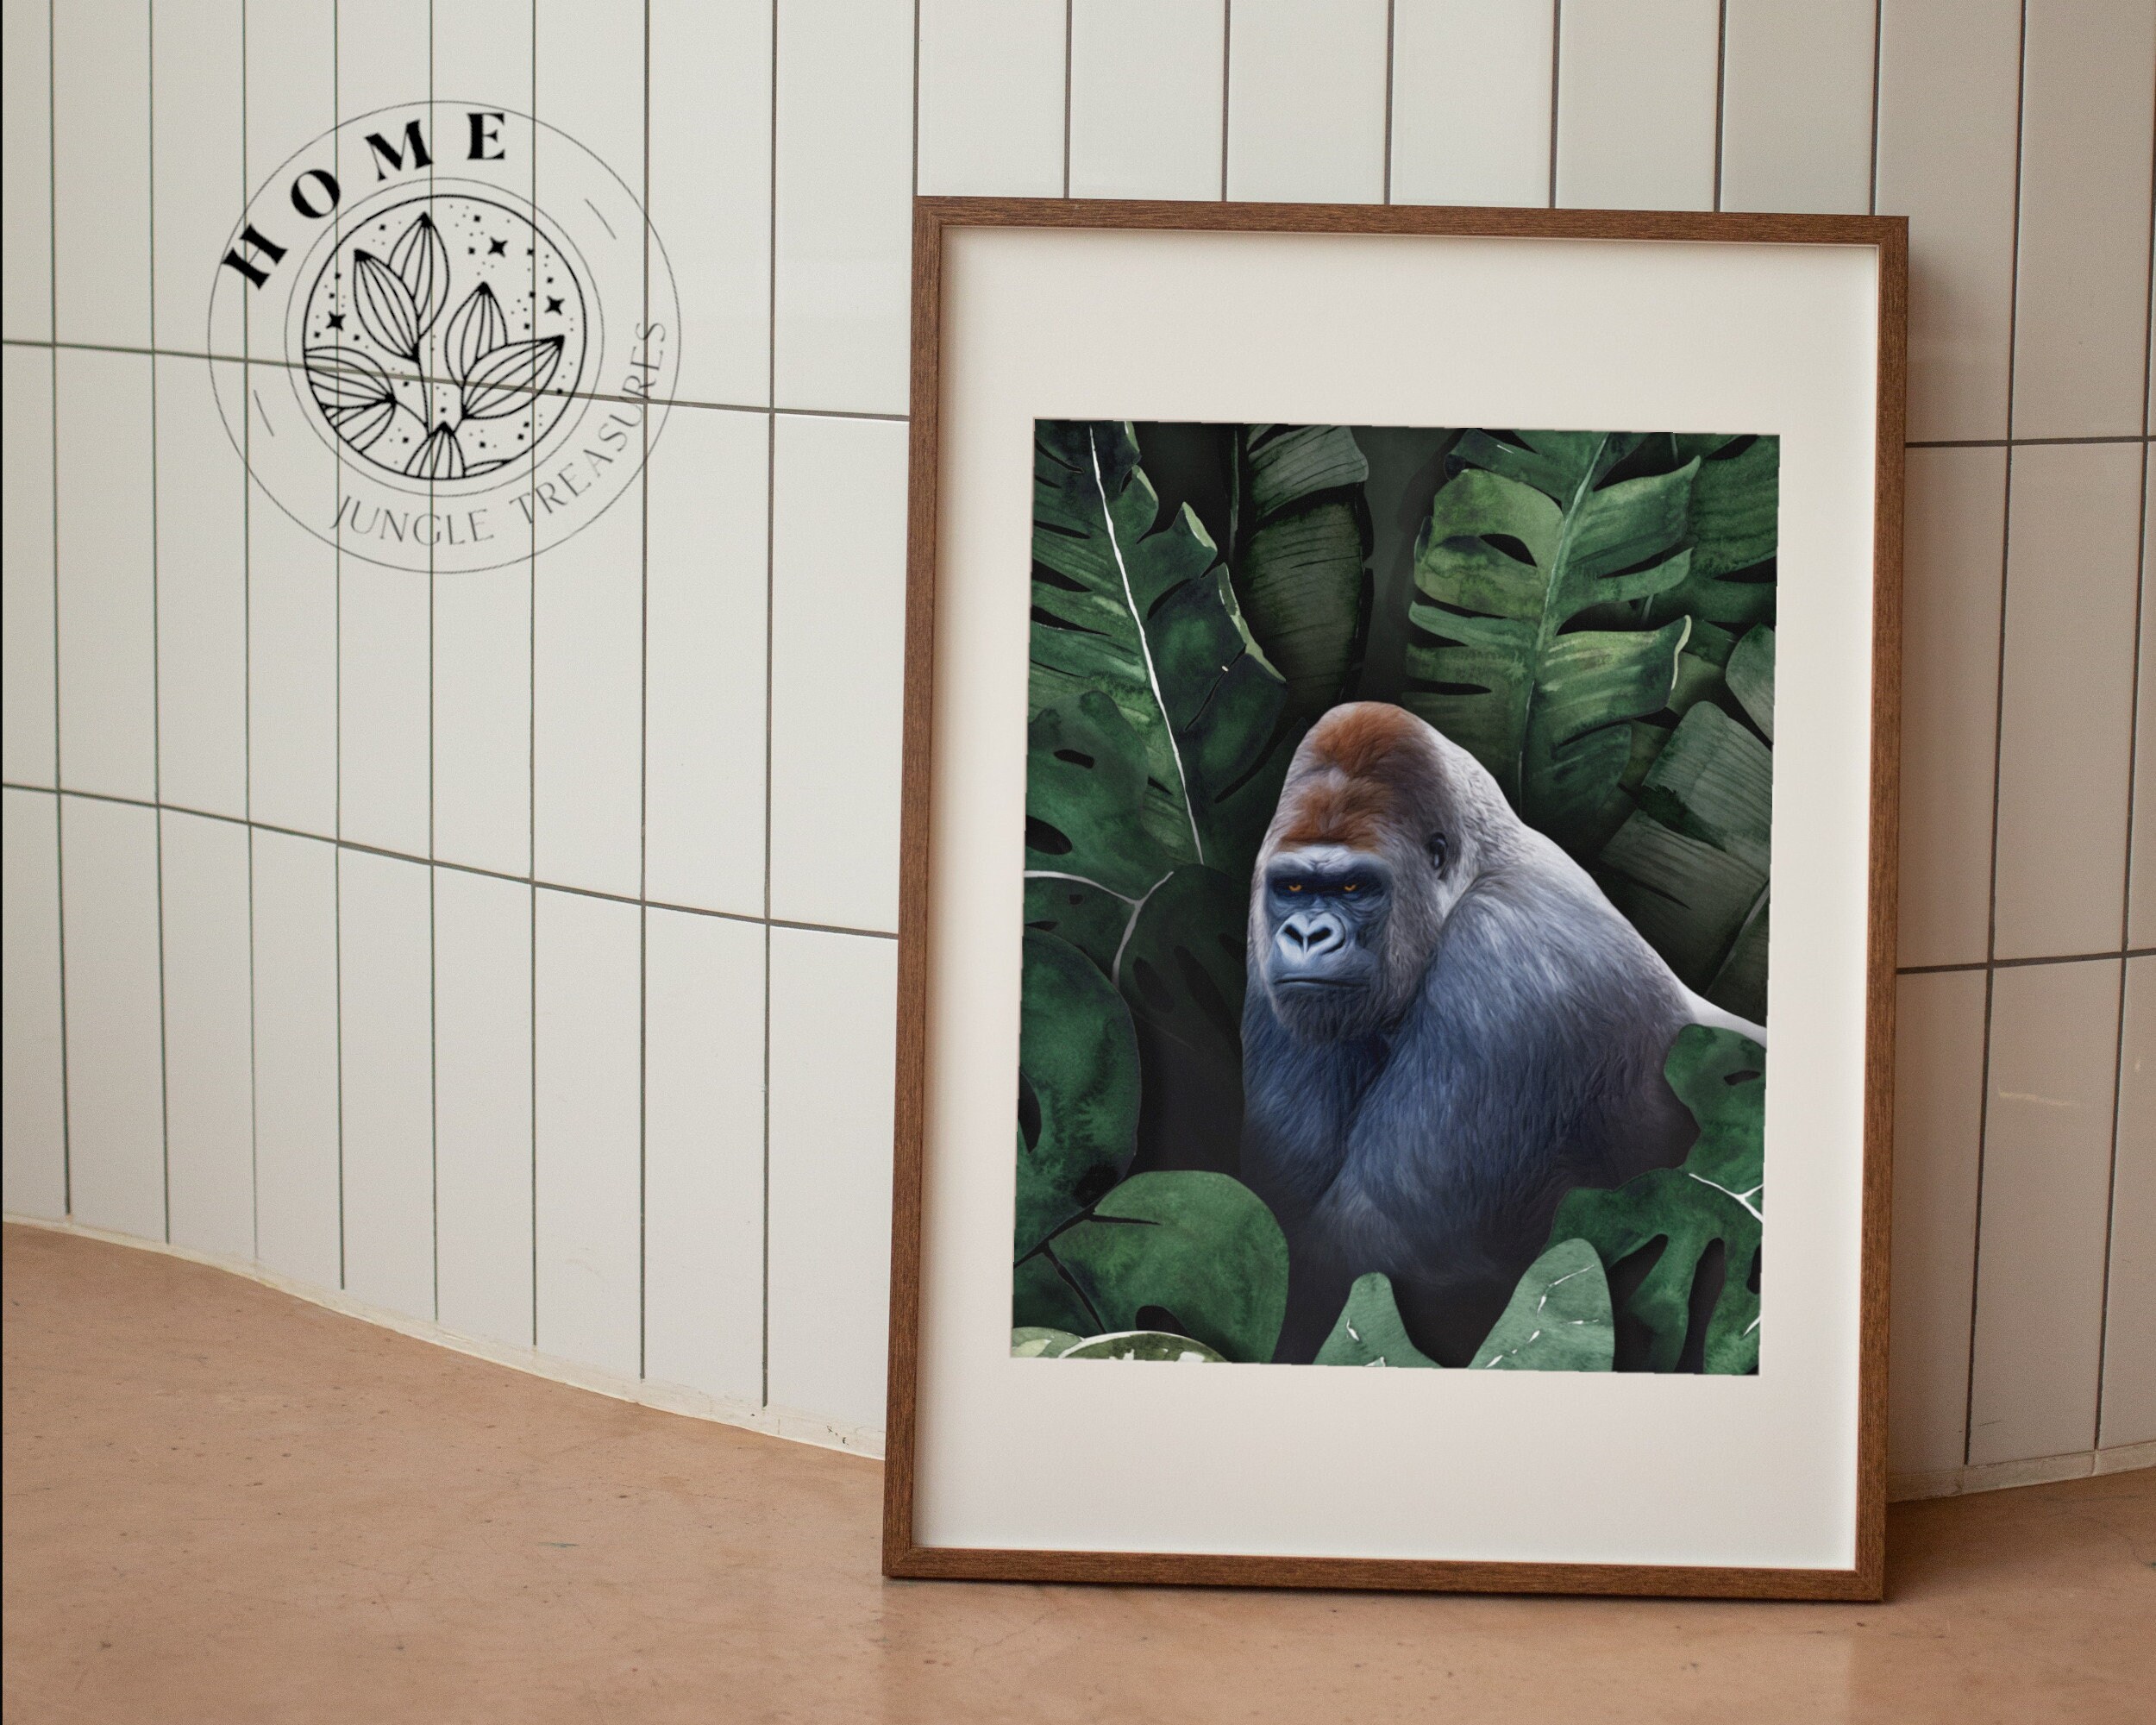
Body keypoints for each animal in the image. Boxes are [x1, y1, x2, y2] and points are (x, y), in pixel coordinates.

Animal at [1239, 702, 1765, 1366]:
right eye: (1295, 888)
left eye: (1355, 887)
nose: (1308, 936)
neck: (1478, 867)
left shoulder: (1503, 959)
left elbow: (1368, 1252)